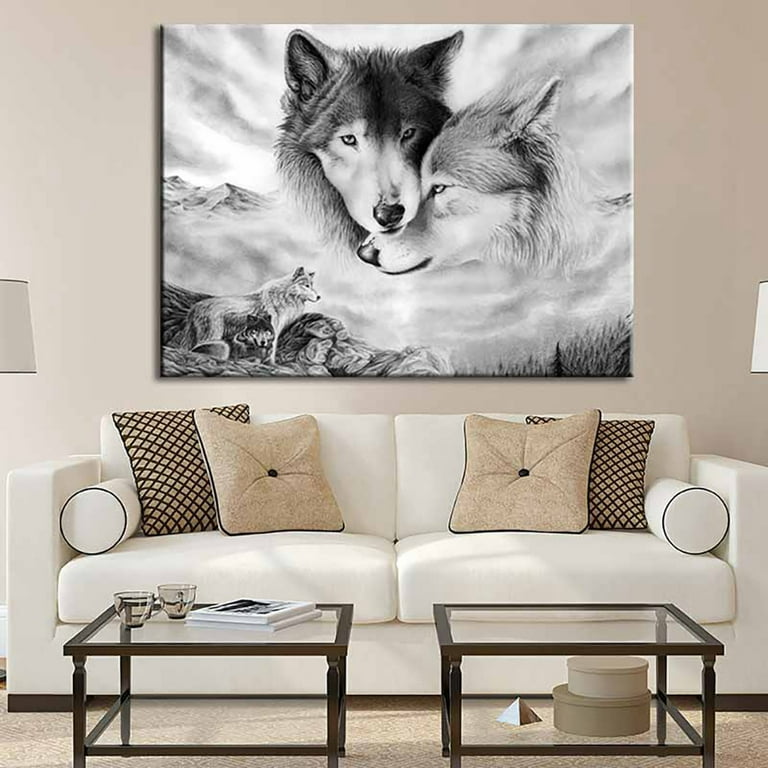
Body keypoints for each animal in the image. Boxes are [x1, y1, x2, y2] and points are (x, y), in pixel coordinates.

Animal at [174, 267, 320, 363]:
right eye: (306, 285)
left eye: (312, 285)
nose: (319, 297)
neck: (284, 296)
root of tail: (195, 307)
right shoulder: (273, 330)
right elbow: (271, 351)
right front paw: (271, 365)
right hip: (212, 336)